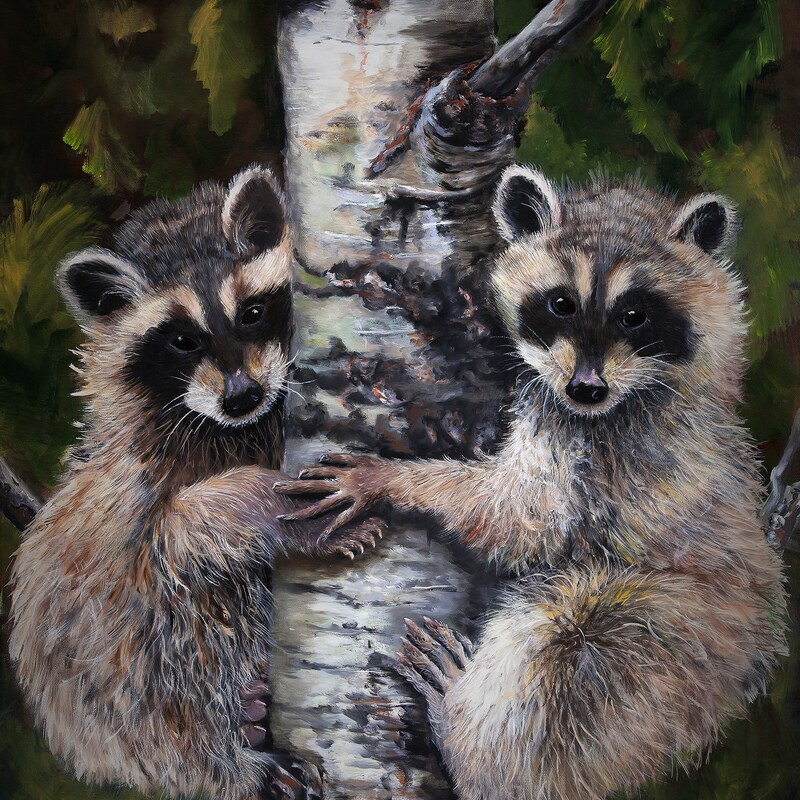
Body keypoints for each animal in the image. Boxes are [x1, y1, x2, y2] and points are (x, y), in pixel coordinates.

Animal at [8, 166, 382, 800]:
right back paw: (241, 754)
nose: (242, 396)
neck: (240, 427)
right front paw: (270, 504)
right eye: (183, 340)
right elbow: (169, 532)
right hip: (119, 694)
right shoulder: (125, 487)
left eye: (252, 312)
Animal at [276, 166, 788, 800]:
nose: (586, 387)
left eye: (635, 315)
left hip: (667, 642)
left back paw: (467, 739)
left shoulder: (598, 442)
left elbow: (525, 515)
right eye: (560, 304)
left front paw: (394, 480)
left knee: (557, 643)